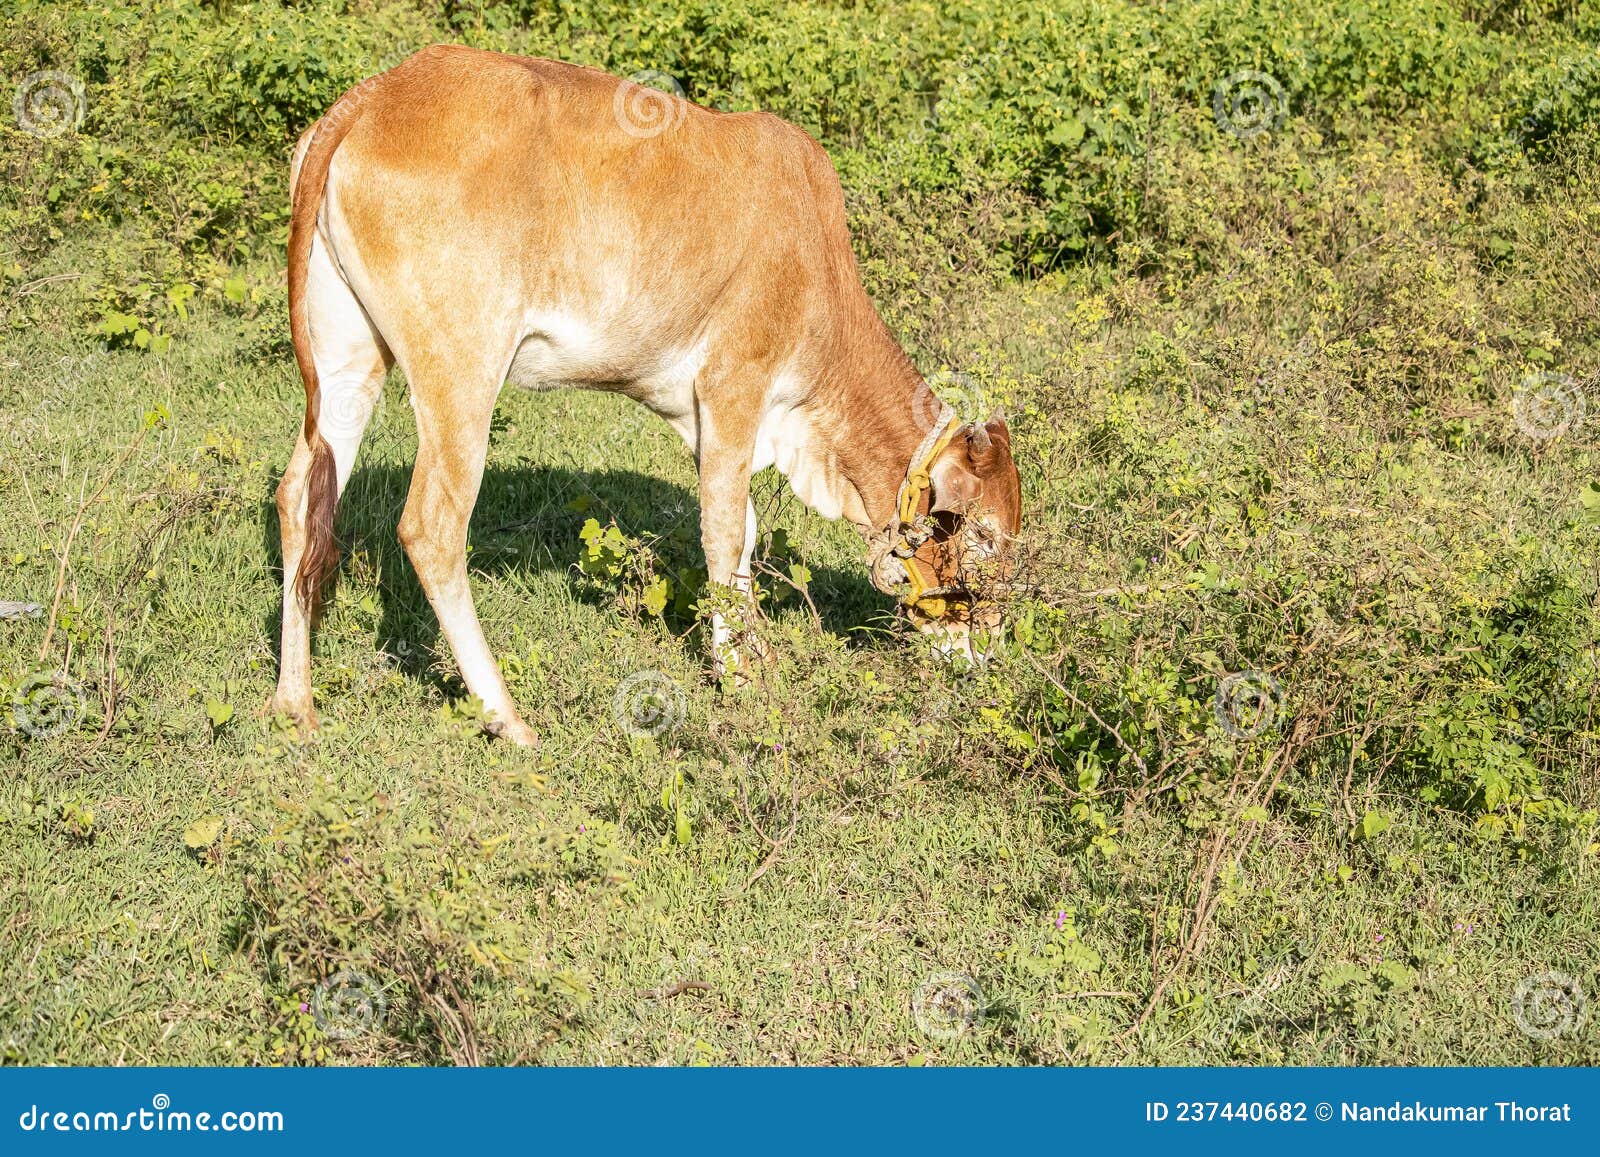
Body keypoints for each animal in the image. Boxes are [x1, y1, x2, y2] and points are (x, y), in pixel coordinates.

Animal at [270, 46, 1021, 745]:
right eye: (983, 537)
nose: (987, 650)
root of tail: (374, 96)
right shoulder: (735, 383)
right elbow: (724, 534)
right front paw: (738, 675)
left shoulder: (703, 417)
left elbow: (743, 534)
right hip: (462, 371)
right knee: (432, 527)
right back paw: (508, 717)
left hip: (350, 363)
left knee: (299, 498)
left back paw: (295, 702)